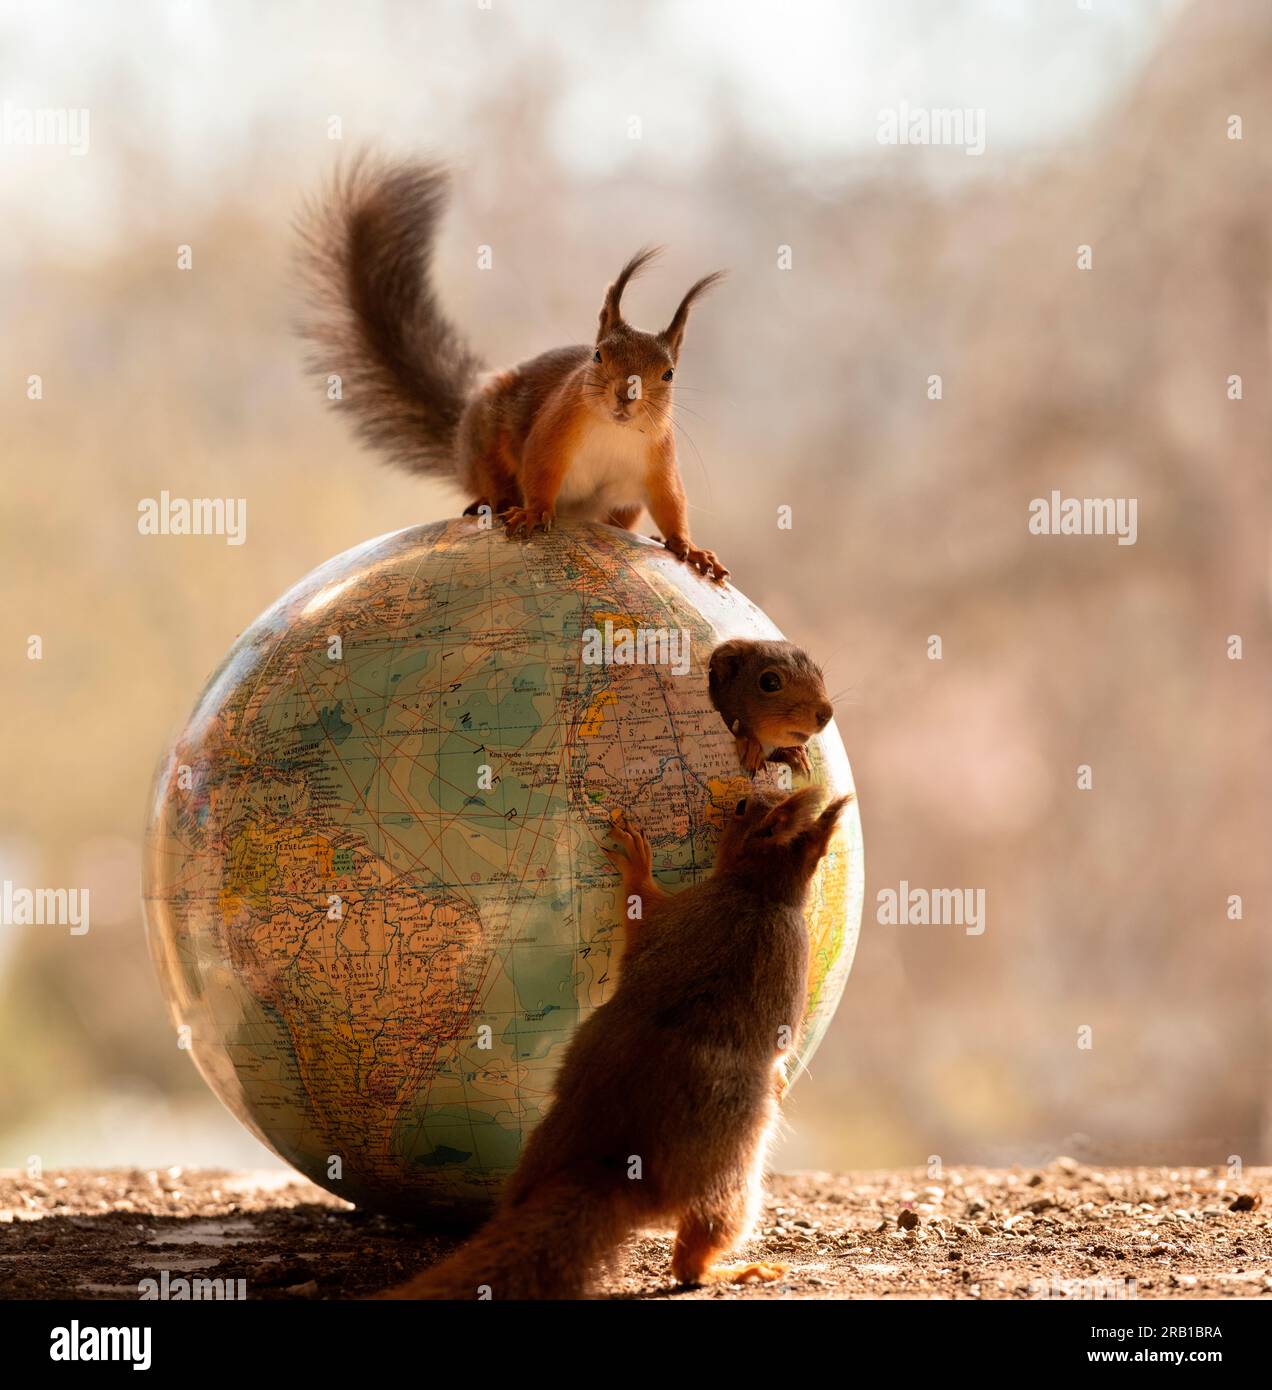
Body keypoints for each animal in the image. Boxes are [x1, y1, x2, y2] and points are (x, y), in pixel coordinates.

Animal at [298, 154, 729, 581]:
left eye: (668, 374)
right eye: (598, 355)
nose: (626, 394)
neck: (615, 430)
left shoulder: (658, 460)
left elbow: (671, 503)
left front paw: (689, 548)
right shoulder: (554, 430)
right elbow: (539, 468)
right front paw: (534, 512)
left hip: (622, 507)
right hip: (486, 438)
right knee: (494, 478)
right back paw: (494, 501)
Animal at [382, 784, 851, 1299]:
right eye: (747, 805)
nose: (742, 795)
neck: (761, 890)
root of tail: (615, 1163)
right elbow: (644, 905)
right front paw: (636, 861)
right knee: (690, 1262)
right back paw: (733, 1270)